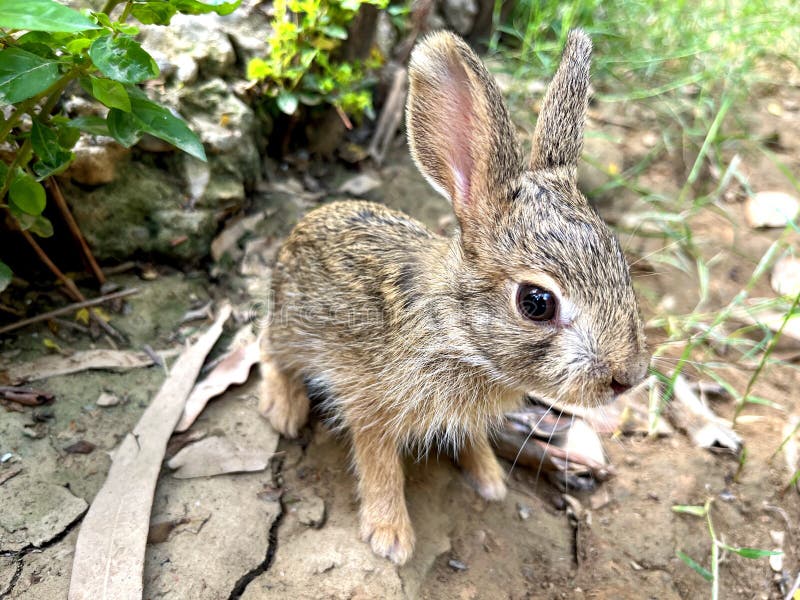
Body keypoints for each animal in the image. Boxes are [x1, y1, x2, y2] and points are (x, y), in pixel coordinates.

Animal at [259, 29, 649, 566]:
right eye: (536, 302)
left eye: (621, 266)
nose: (627, 377)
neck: (456, 331)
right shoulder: (371, 403)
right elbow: (379, 462)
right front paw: (391, 536)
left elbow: (472, 438)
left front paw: (489, 479)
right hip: (292, 328)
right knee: (268, 352)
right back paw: (284, 408)